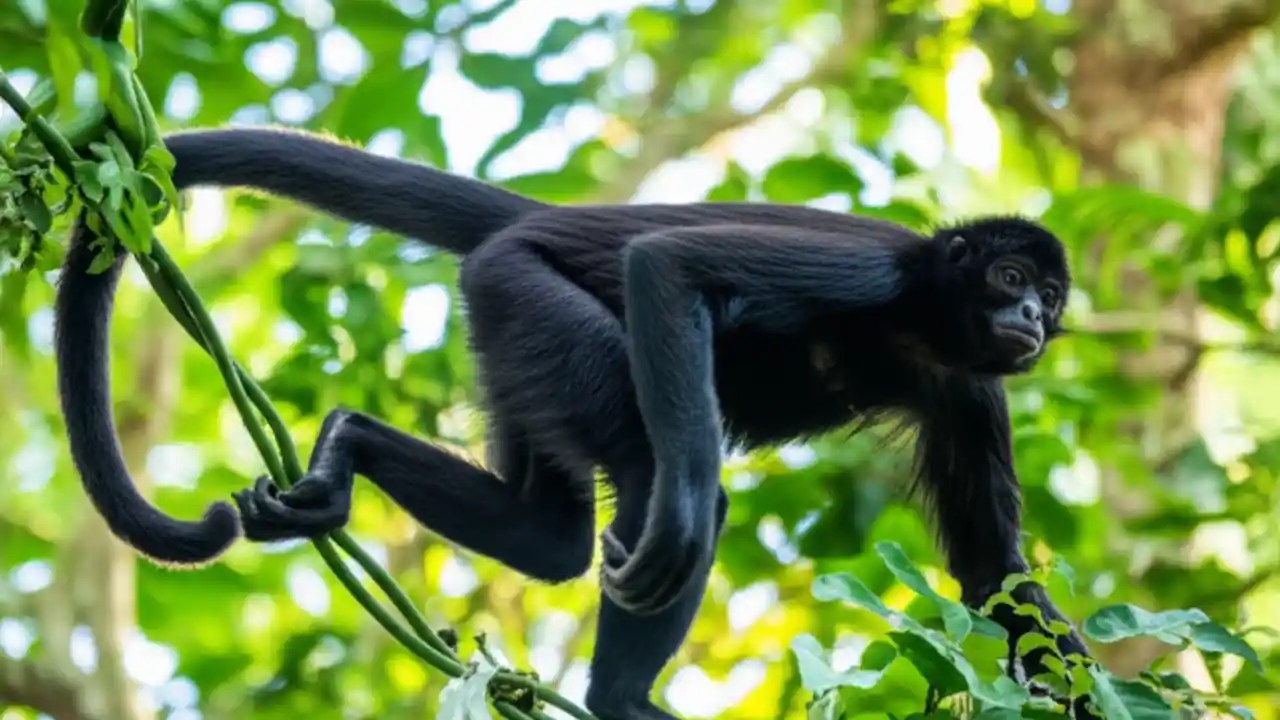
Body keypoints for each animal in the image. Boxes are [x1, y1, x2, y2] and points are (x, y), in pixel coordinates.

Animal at [54, 127, 1093, 719]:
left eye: (1047, 298)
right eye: (1009, 277)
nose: (1030, 317)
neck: (923, 318)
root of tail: (535, 218)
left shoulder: (973, 388)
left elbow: (992, 574)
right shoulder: (875, 272)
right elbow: (669, 268)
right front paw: (684, 509)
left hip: (507, 336)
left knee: (546, 535)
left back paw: (348, 443)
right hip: (529, 297)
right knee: (644, 478)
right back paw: (622, 695)